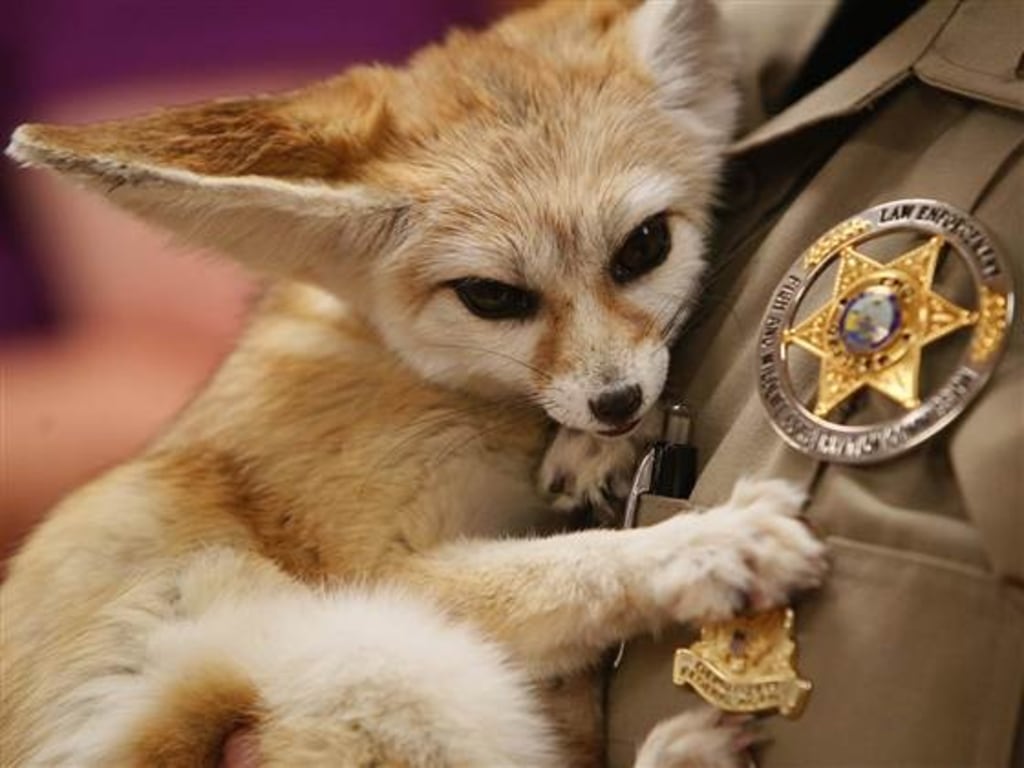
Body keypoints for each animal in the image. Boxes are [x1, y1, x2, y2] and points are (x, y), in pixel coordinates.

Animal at [1, 1, 828, 766]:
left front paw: (594, 449)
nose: (615, 403)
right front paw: (703, 546)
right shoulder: (374, 570)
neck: (398, 369)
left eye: (645, 247)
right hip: (391, 657)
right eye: (491, 296)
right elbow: (562, 568)